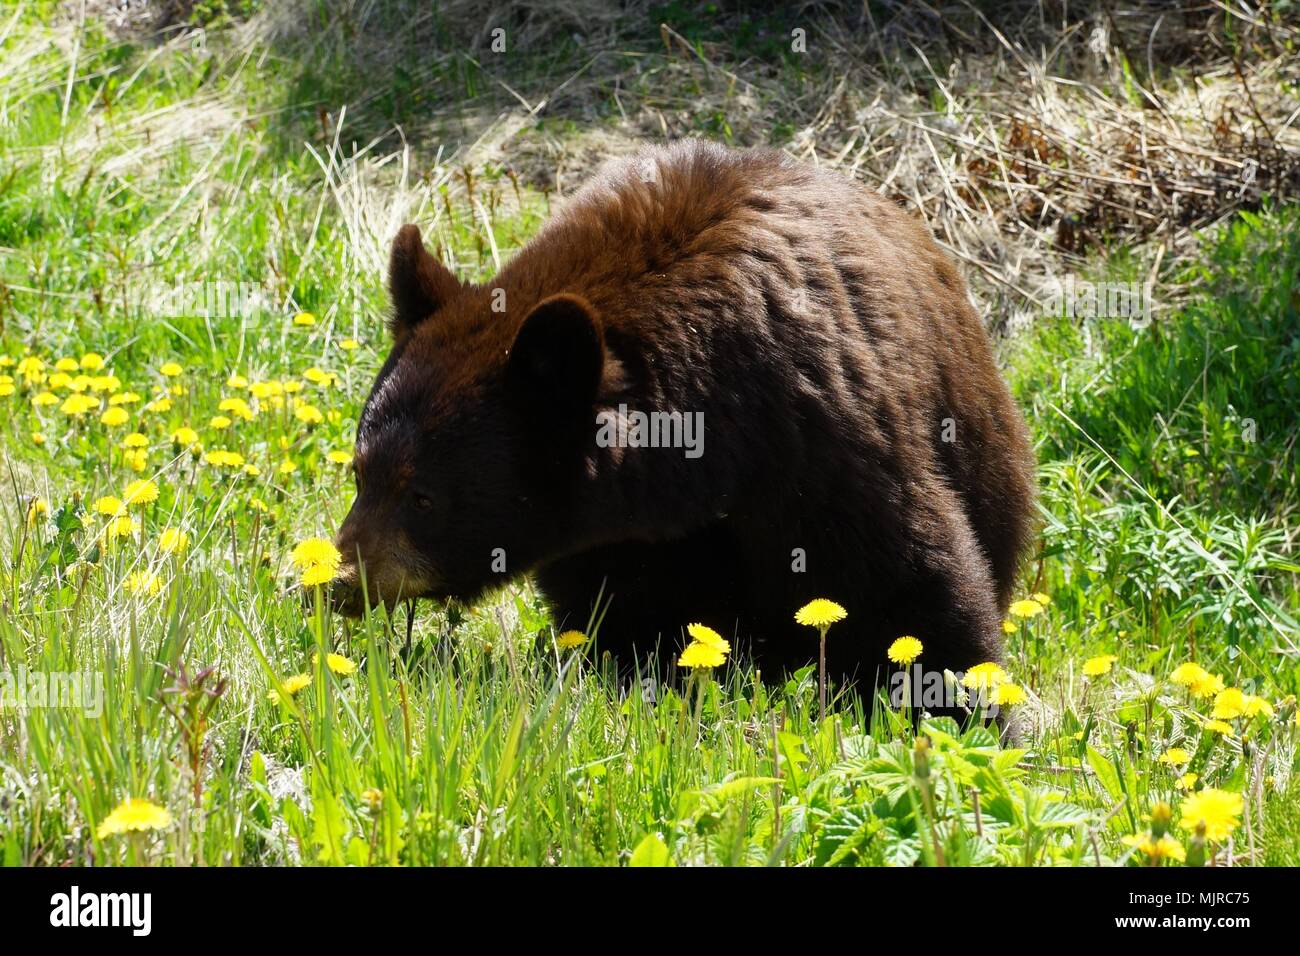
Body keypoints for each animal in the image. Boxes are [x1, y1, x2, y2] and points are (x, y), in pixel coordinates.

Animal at [331, 139, 1036, 705]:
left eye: (423, 495)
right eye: (360, 472)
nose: (336, 583)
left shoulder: (825, 439)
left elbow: (908, 589)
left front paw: (962, 712)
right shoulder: (622, 540)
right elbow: (635, 618)